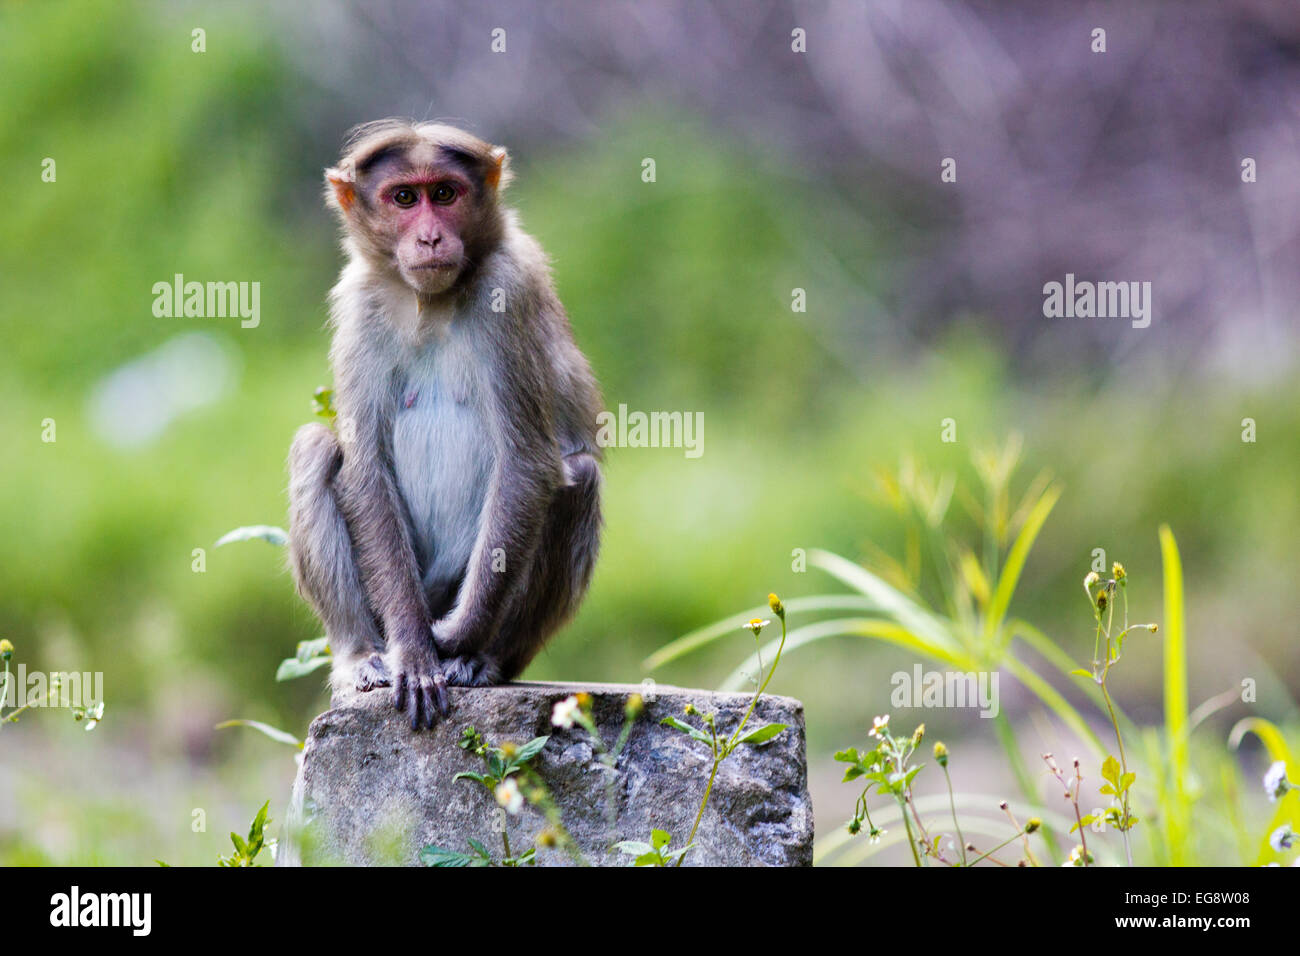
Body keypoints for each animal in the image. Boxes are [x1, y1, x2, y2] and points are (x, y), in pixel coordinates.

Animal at [287, 119, 603, 730]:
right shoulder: (358, 302)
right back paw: (361, 654)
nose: (431, 239)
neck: (429, 301)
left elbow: (527, 464)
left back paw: (481, 657)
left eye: (445, 194)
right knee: (316, 448)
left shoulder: (510, 289)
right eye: (405, 198)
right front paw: (413, 648)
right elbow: (364, 467)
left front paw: (454, 637)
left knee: (578, 476)